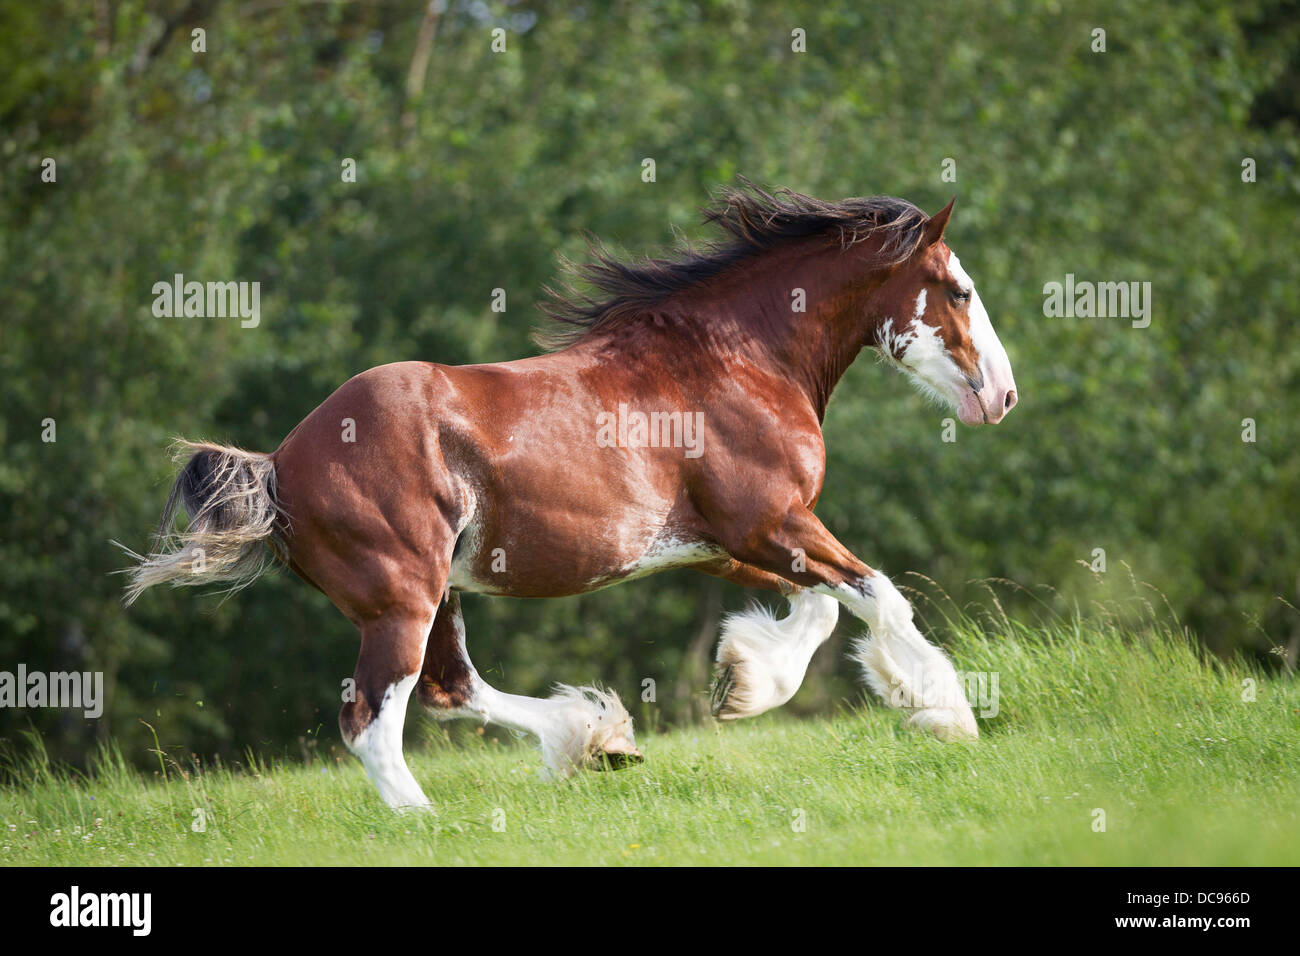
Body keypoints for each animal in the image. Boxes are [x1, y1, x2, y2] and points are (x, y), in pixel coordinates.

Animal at [123, 182, 1018, 811]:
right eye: (961, 290)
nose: (1003, 397)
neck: (735, 360)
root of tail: (280, 463)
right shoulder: (771, 523)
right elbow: (881, 597)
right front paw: (948, 716)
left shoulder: (723, 545)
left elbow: (826, 608)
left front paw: (744, 681)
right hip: (401, 596)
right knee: (374, 718)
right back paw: (432, 818)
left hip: (438, 591)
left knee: (451, 690)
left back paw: (594, 738)